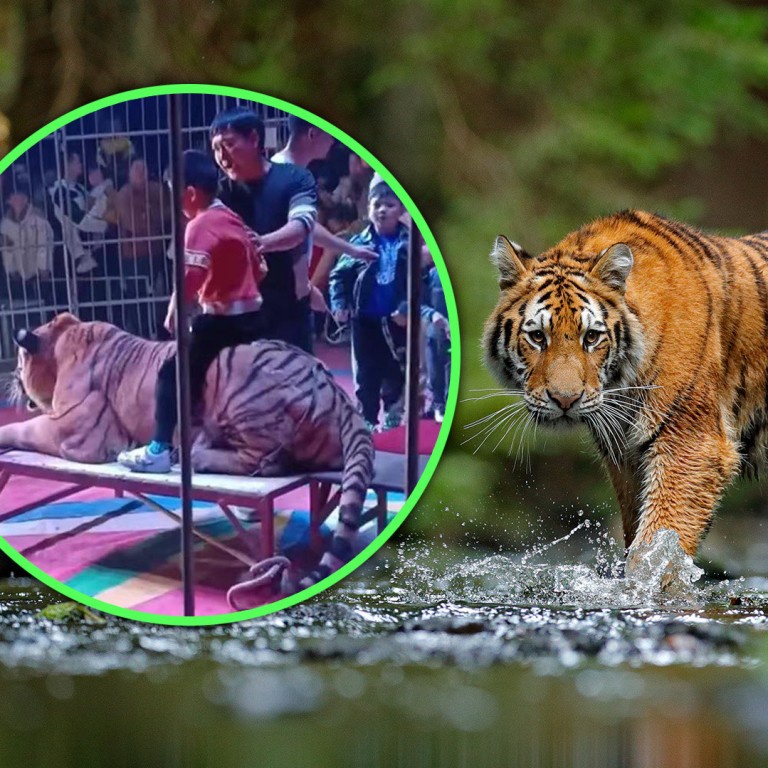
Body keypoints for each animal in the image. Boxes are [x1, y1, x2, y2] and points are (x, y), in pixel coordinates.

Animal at [0, 312, 374, 593]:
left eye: (19, 361)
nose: (13, 378)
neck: (64, 339)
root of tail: (333, 387)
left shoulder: (79, 431)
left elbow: (25, 429)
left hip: (237, 385)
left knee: (263, 461)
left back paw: (196, 454)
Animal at [483, 209, 768, 565]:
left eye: (591, 337)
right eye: (537, 337)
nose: (564, 399)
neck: (622, 386)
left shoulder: (692, 444)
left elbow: (657, 543)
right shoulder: (626, 459)